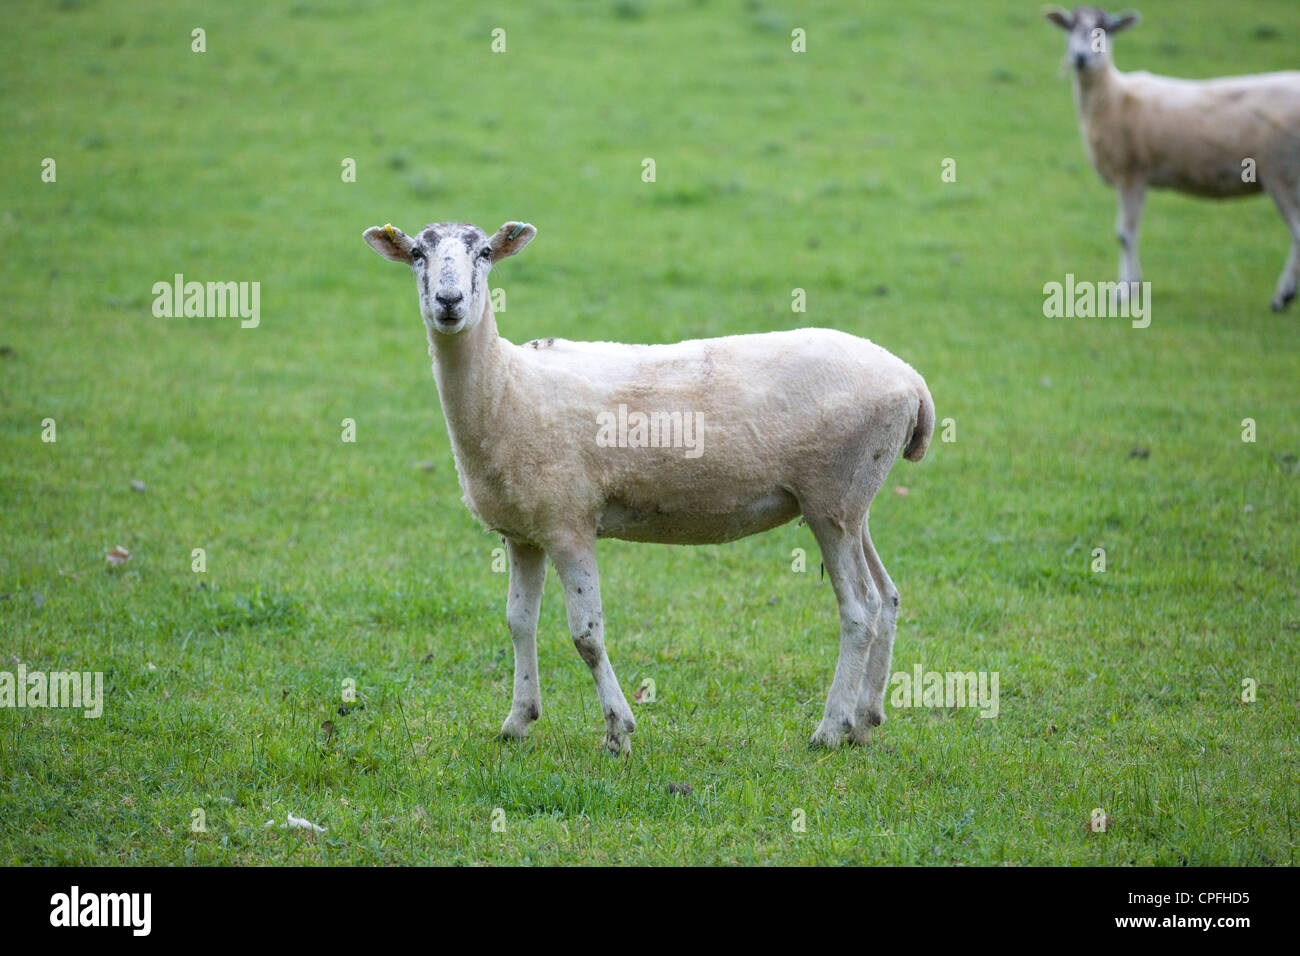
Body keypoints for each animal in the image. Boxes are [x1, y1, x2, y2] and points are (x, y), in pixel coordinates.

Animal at [362, 220, 934, 754]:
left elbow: (586, 635)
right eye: (417, 254)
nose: (449, 302)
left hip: (832, 497)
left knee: (859, 610)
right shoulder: (523, 533)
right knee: (887, 597)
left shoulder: (569, 524)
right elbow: (519, 623)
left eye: (483, 252)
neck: (507, 388)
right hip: (853, 501)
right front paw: (518, 720)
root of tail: (912, 383)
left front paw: (618, 731)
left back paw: (830, 729)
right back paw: (865, 721)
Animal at [1044, 6, 1300, 311]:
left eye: (1104, 30)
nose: (1080, 57)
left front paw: (1124, 291)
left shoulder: (1131, 173)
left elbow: (1125, 233)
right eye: (1070, 27)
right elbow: (1129, 232)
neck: (1113, 96)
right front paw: (1133, 287)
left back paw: (1282, 297)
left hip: (1283, 171)